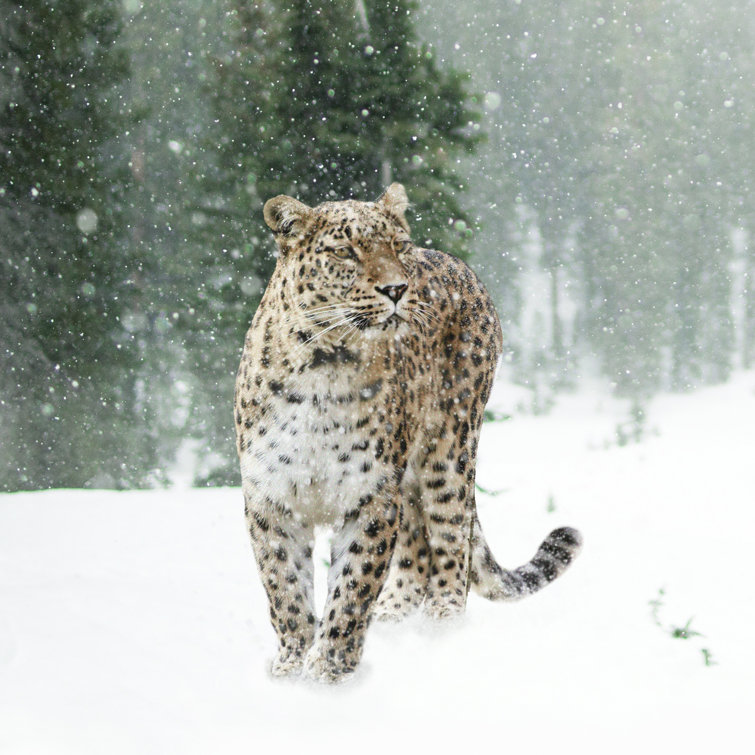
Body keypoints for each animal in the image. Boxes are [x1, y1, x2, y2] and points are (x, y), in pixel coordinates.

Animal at [234, 183, 582, 683]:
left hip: (449, 450)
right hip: (413, 476)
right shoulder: (271, 497)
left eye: (398, 247)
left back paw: (440, 627)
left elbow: (353, 587)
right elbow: (285, 589)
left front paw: (329, 672)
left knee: (451, 539)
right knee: (417, 544)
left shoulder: (371, 495)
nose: (397, 288)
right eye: (345, 251)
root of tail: (460, 264)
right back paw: (395, 618)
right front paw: (291, 668)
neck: (324, 365)